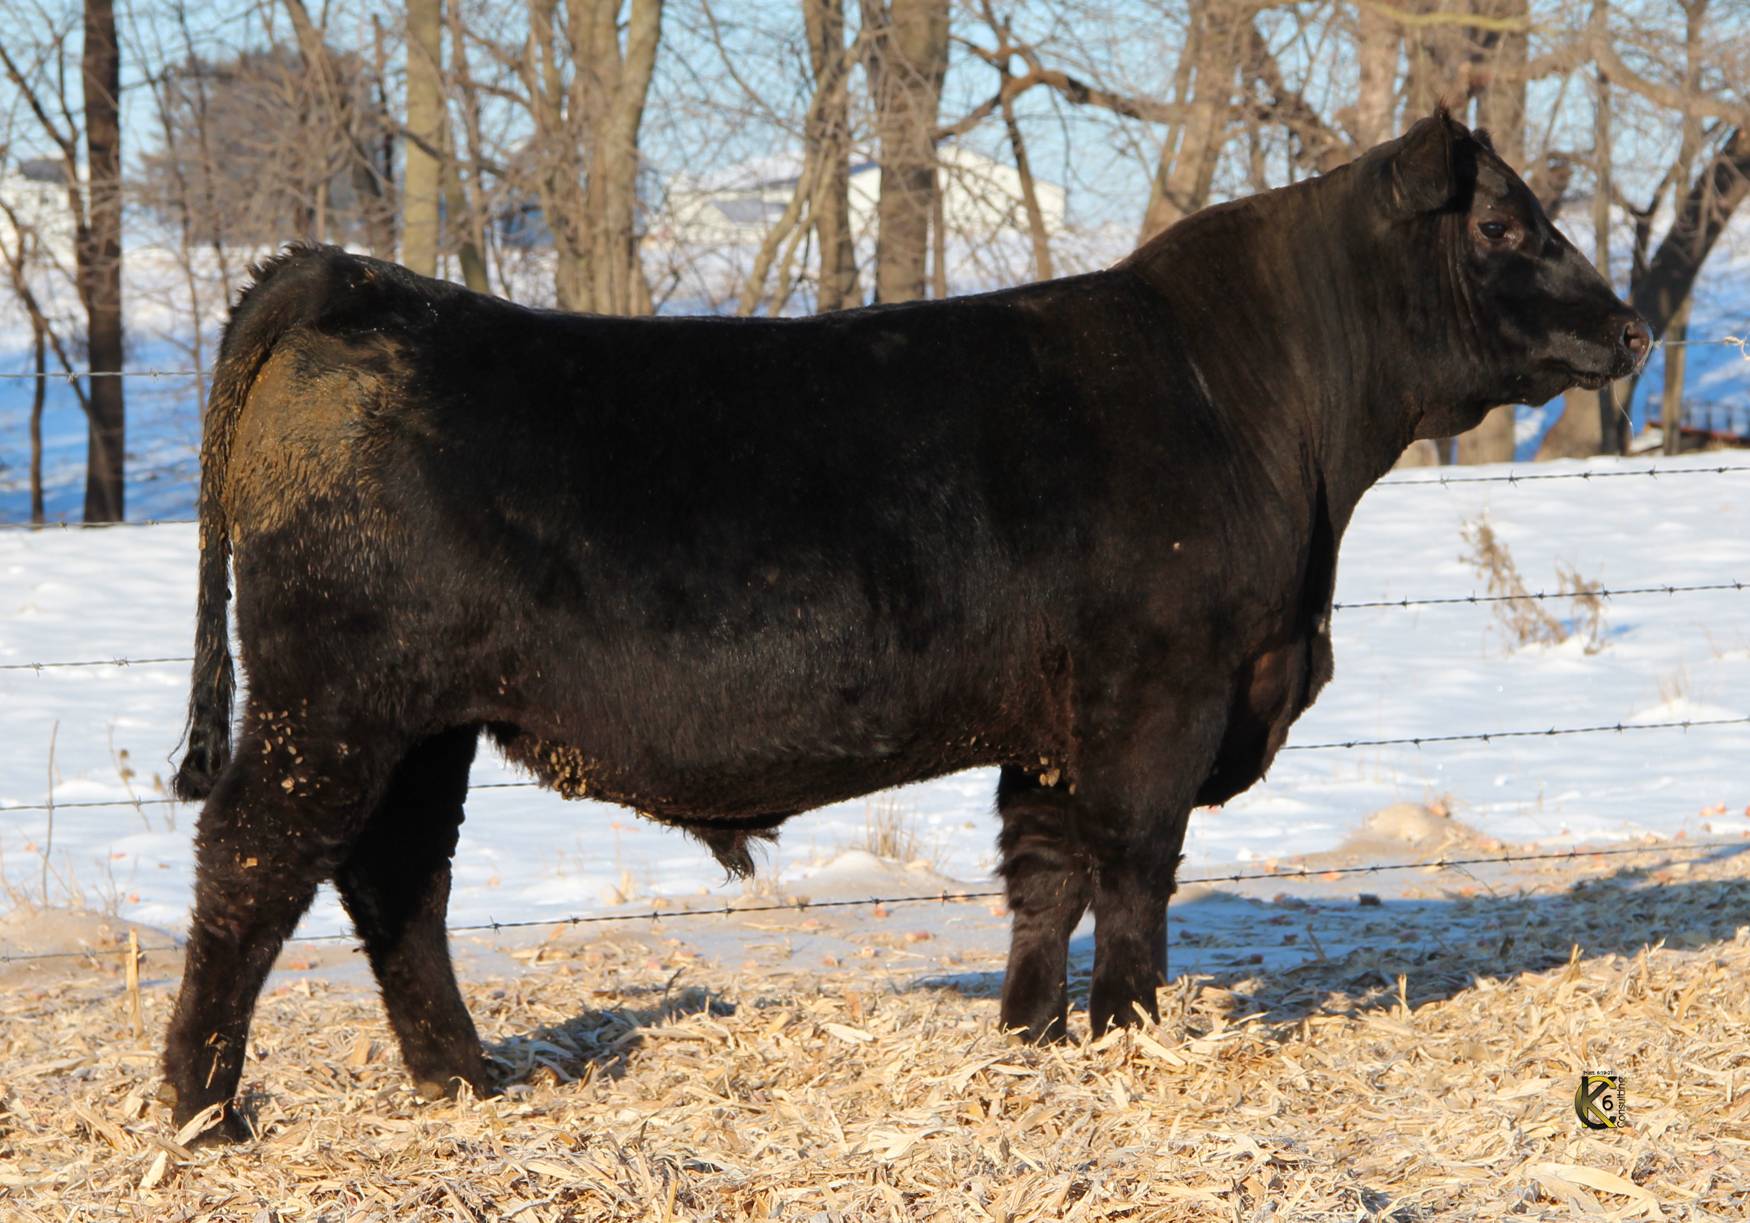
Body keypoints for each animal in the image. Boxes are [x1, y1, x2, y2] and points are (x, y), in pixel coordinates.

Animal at [160, 110, 1648, 1141]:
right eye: (1505, 229)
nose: (1631, 330)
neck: (1259, 408)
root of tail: (354, 281)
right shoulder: (1157, 695)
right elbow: (1134, 868)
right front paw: (1132, 1034)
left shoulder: (1052, 722)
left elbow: (1044, 873)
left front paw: (1034, 1036)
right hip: (331, 704)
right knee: (251, 867)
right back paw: (203, 1110)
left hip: (426, 723)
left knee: (396, 881)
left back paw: (467, 1077)